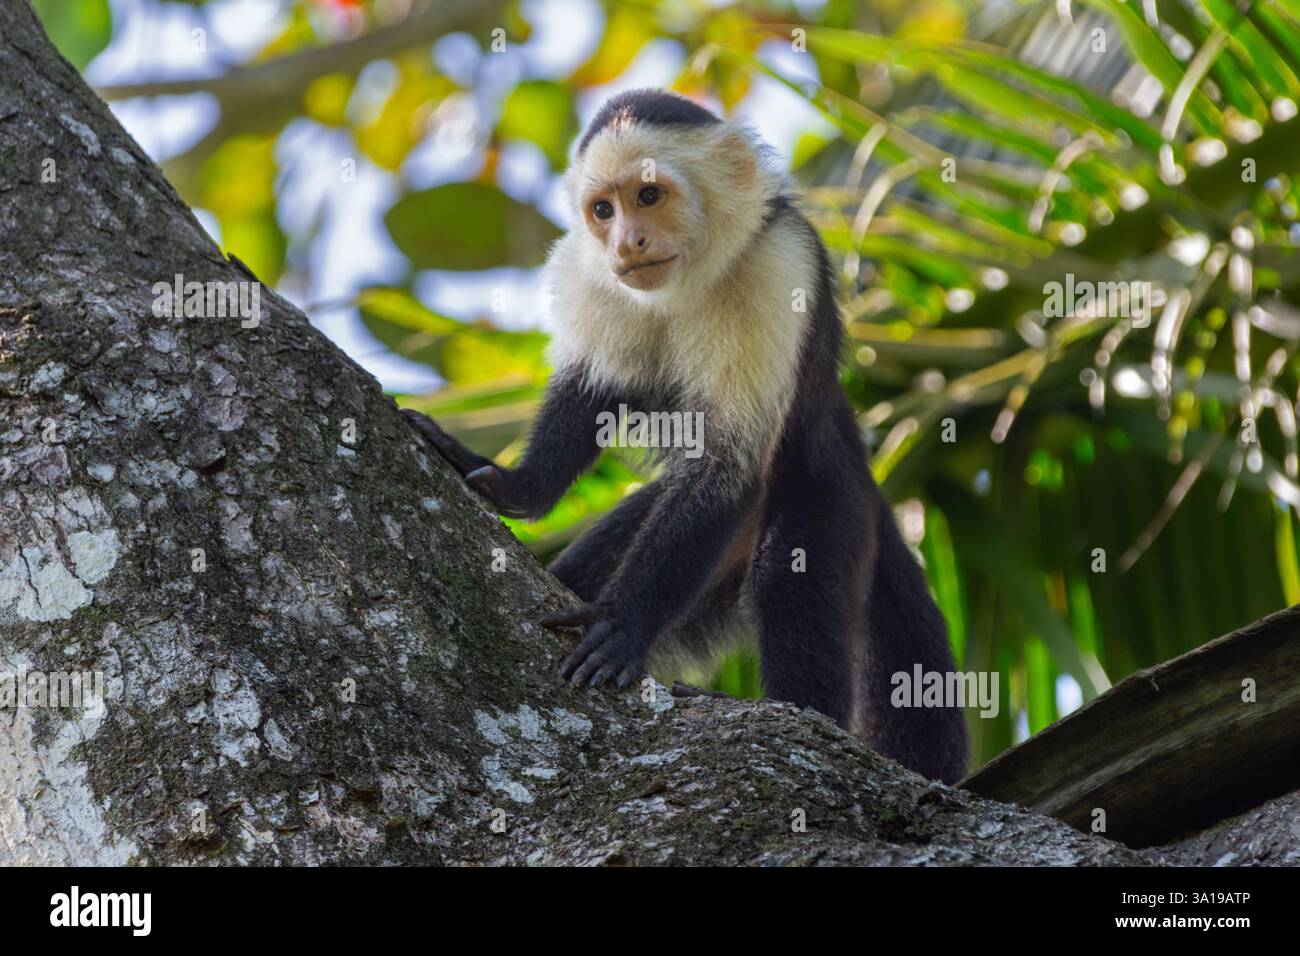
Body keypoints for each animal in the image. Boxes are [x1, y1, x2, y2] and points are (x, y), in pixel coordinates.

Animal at [403, 89, 969, 783]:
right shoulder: (587, 272)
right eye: (603, 210)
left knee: (789, 571)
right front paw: (516, 485)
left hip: (833, 495)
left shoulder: (780, 262)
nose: (628, 241)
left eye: (649, 196)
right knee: (603, 553)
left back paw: (803, 717)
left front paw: (626, 621)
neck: (689, 281)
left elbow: (724, 461)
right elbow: (593, 390)